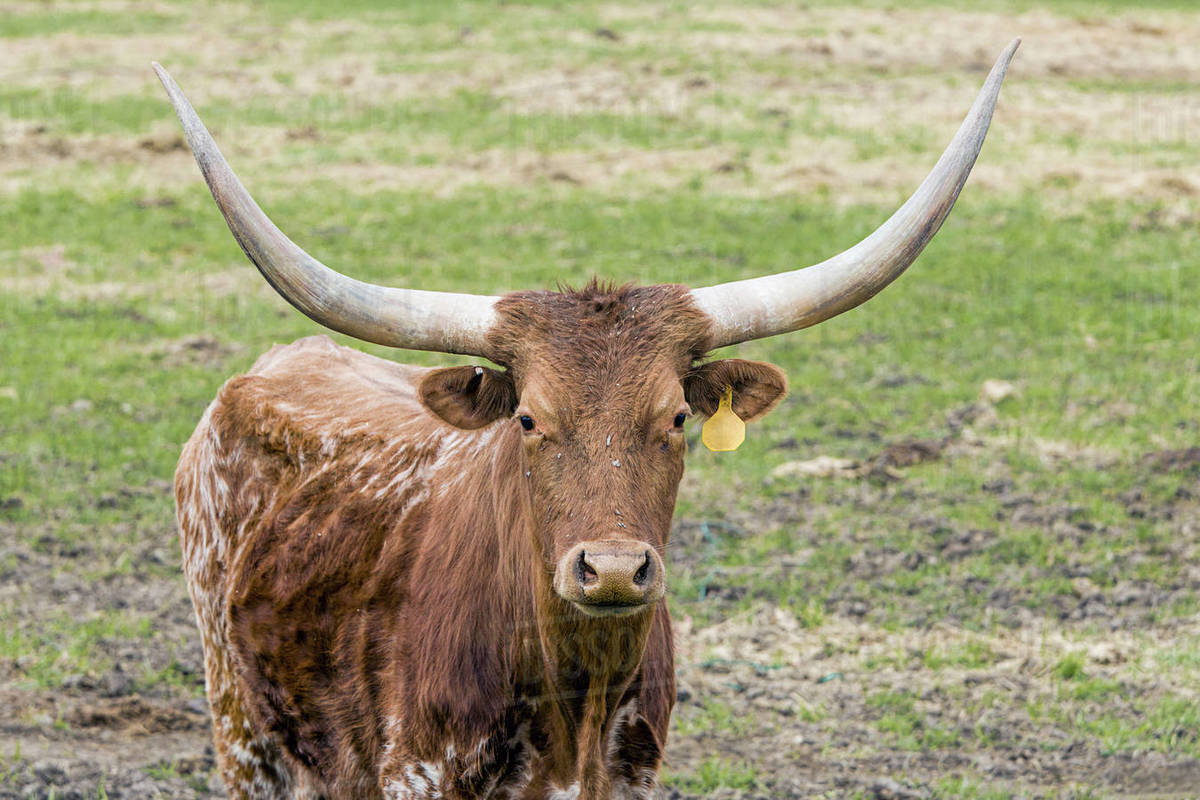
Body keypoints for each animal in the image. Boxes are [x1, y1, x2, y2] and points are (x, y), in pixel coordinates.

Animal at [157, 39, 1018, 800]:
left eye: (677, 416)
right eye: (528, 420)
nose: (609, 569)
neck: (575, 695)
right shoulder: (415, 776)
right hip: (240, 728)